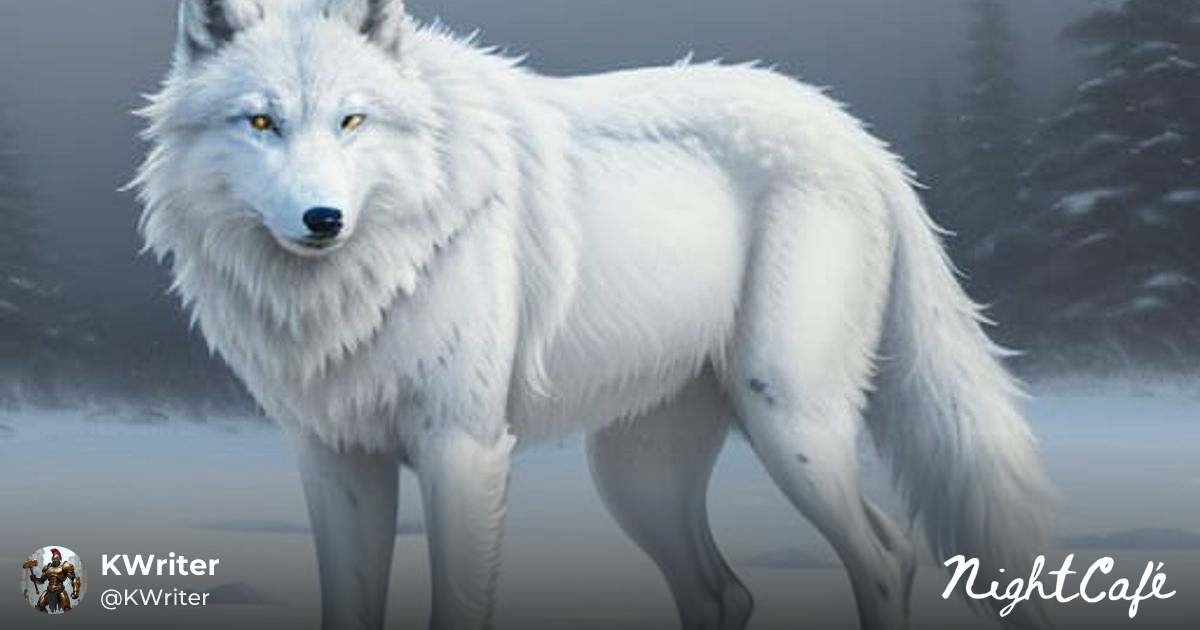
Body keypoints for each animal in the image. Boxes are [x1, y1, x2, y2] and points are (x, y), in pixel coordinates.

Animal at [133, 1, 1054, 629]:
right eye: (261, 121)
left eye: (351, 120)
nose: (322, 219)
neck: (367, 279)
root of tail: (863, 138)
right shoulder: (336, 463)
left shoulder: (463, 450)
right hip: (634, 477)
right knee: (724, 592)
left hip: (789, 421)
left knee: (890, 554)